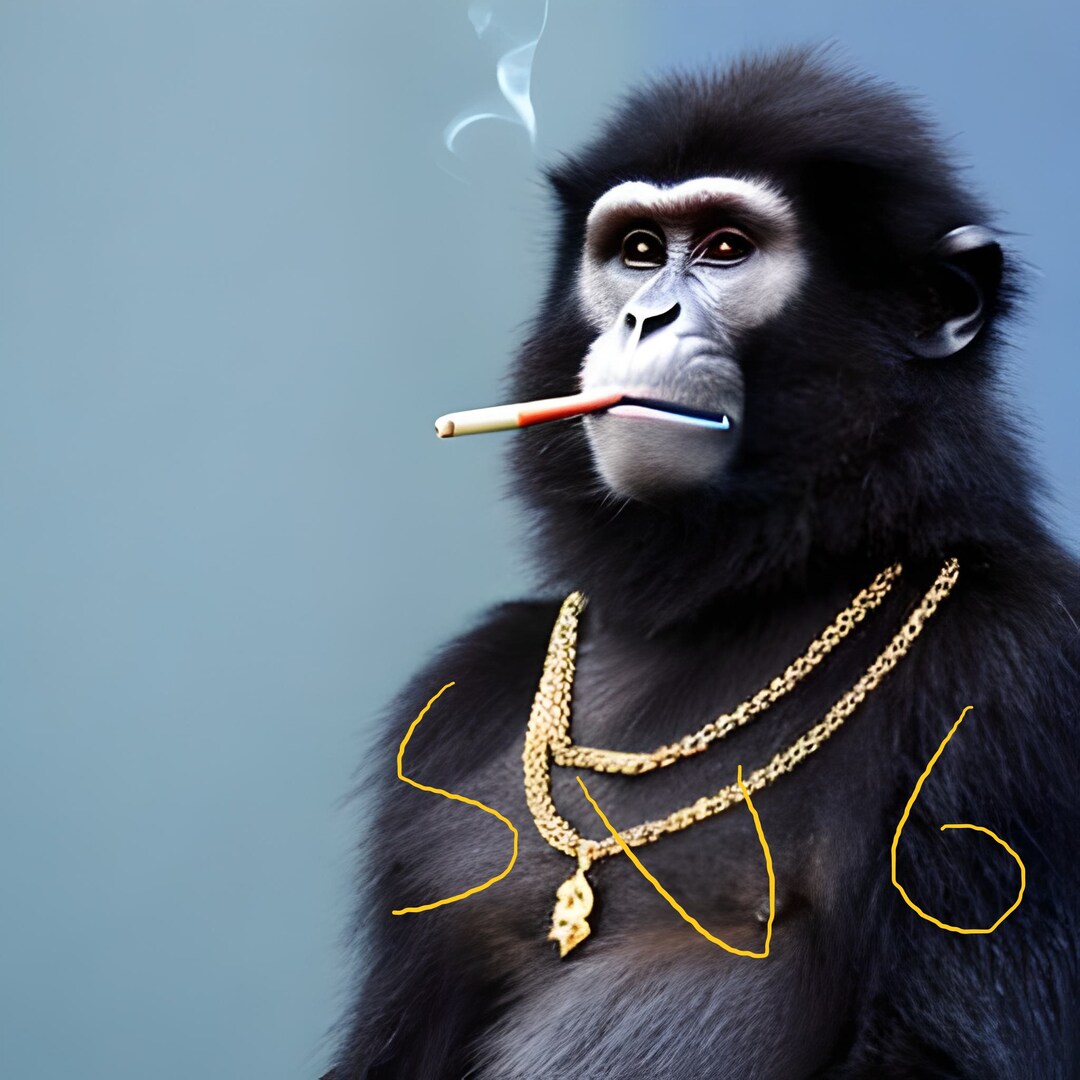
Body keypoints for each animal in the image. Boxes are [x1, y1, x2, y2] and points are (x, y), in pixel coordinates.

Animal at [324, 50, 1080, 1079]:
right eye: (639, 251)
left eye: (727, 249)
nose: (647, 317)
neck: (743, 593)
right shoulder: (462, 688)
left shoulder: (1023, 676)